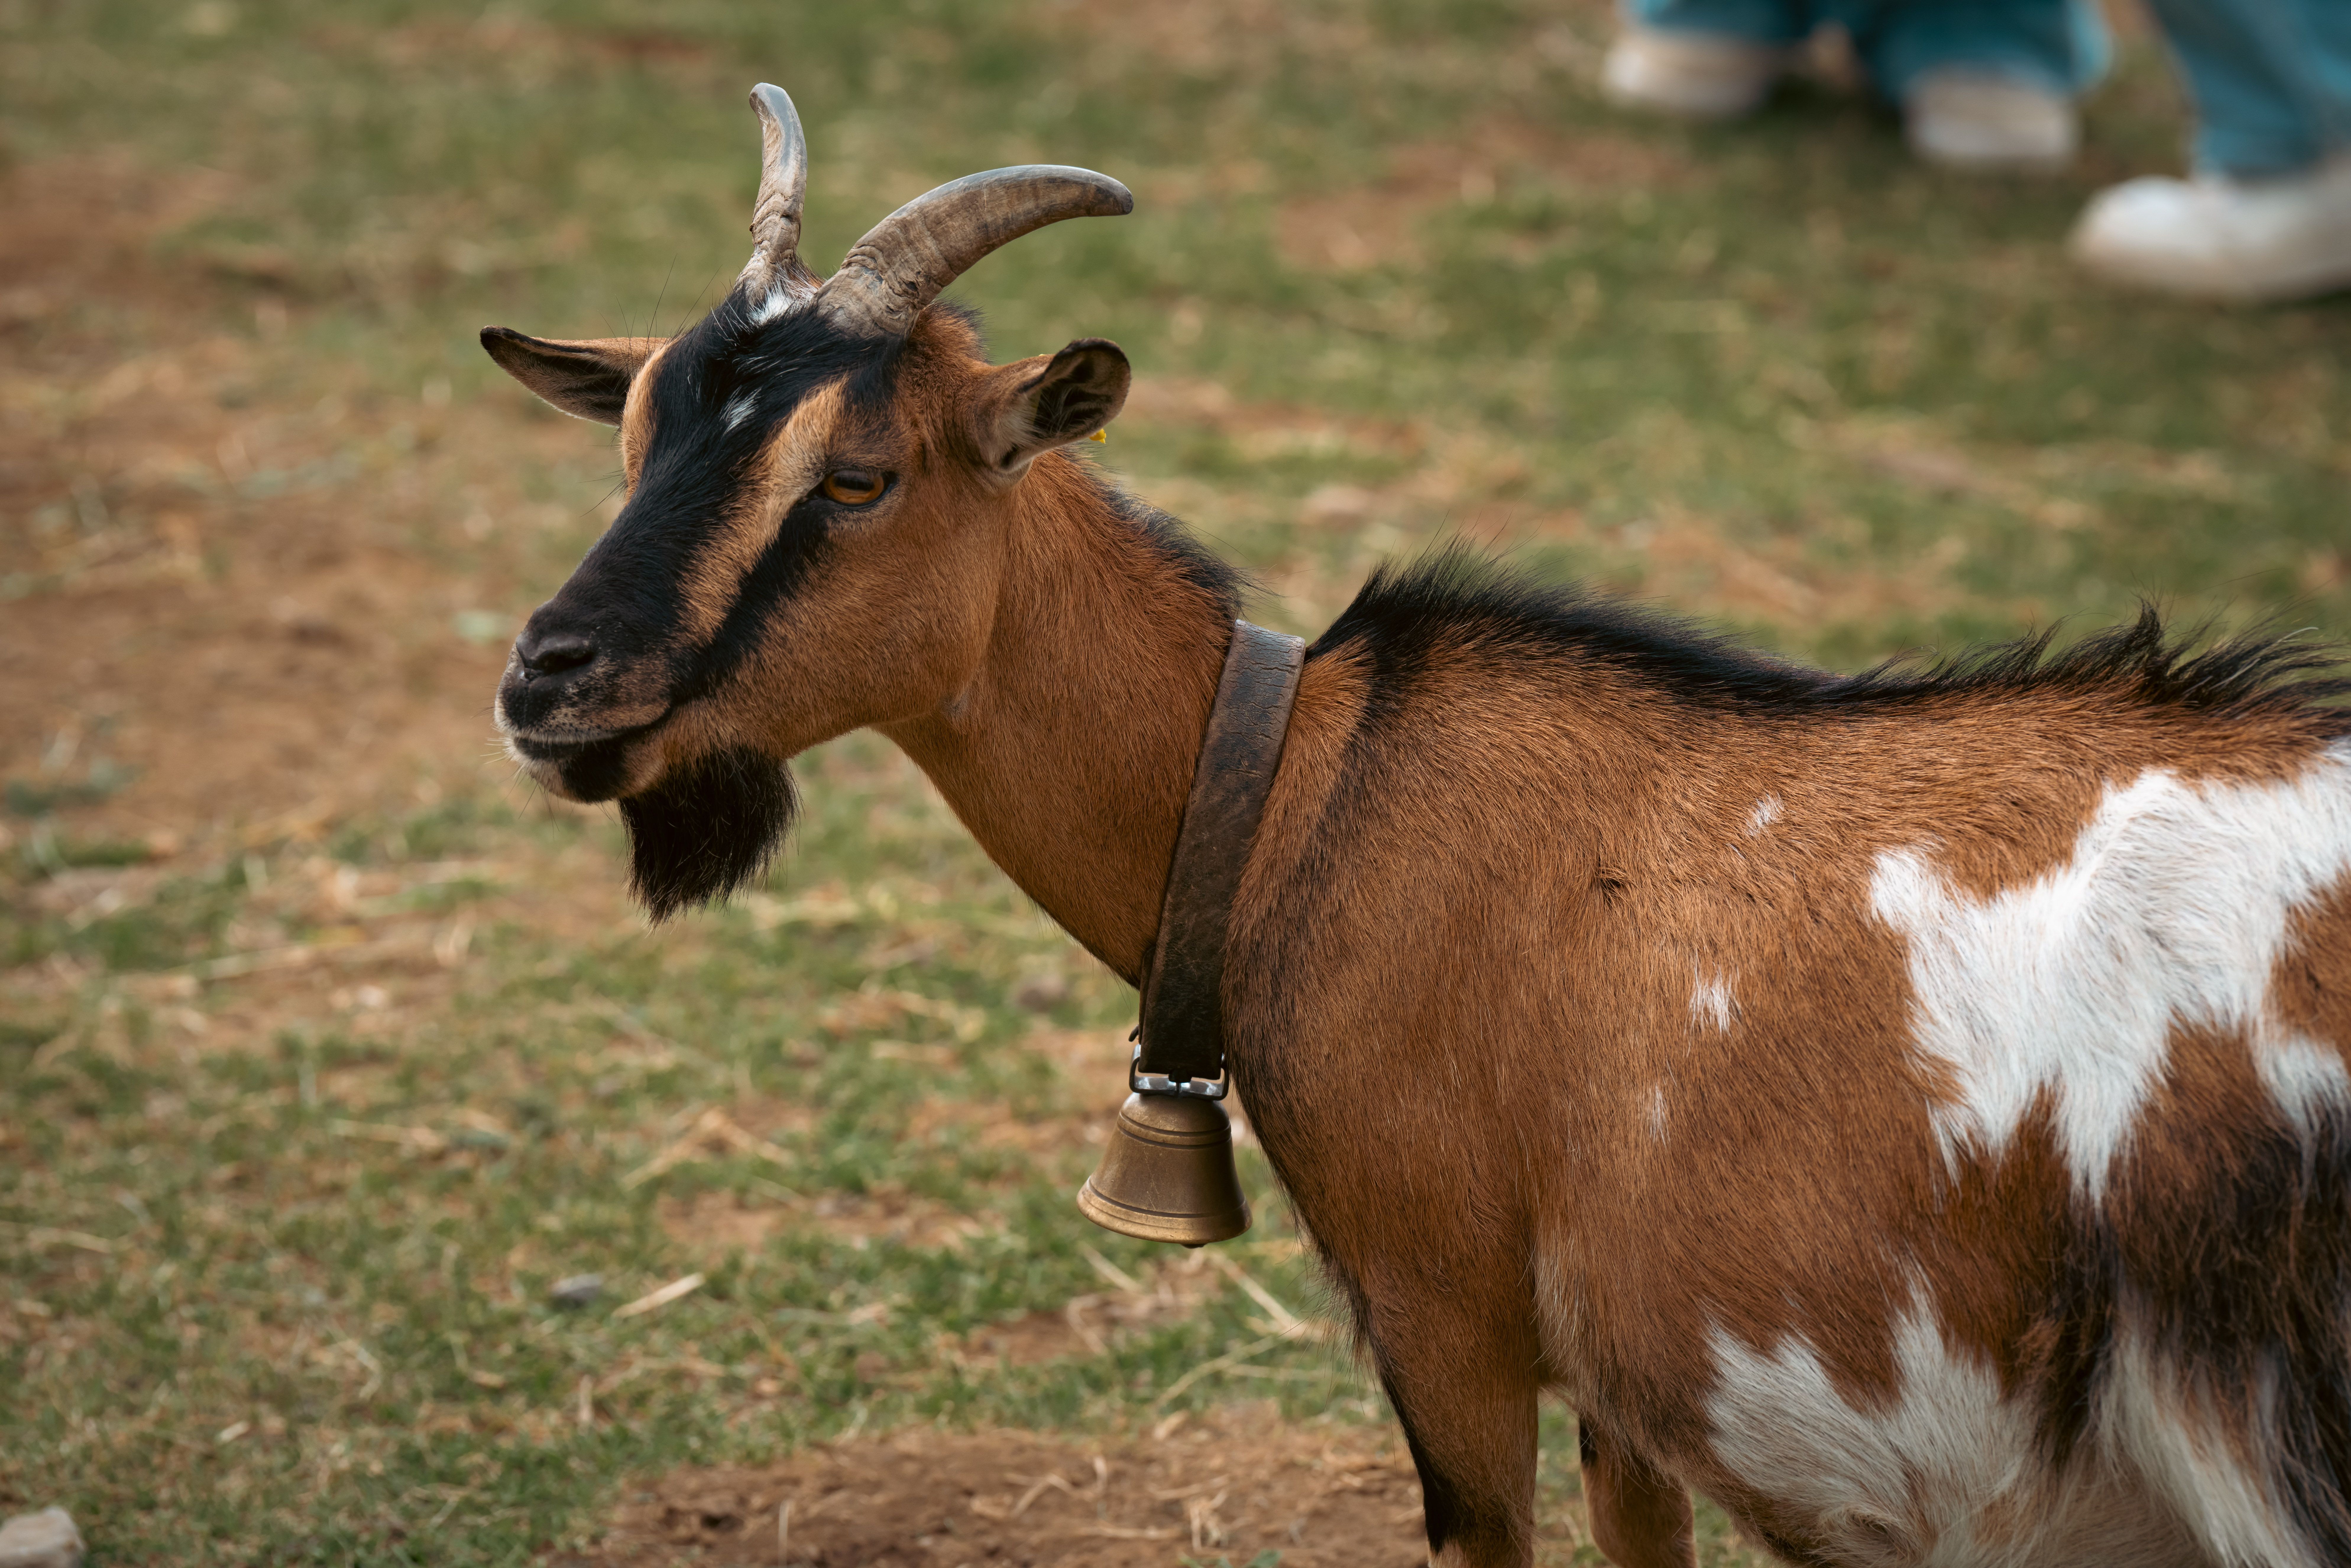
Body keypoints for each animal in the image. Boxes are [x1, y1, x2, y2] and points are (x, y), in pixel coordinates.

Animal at [482, 85, 2351, 1568]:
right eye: (637, 430)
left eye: (857, 476)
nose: (548, 678)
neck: (1298, 793)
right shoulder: (1621, 1395)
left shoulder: (1444, 1313)